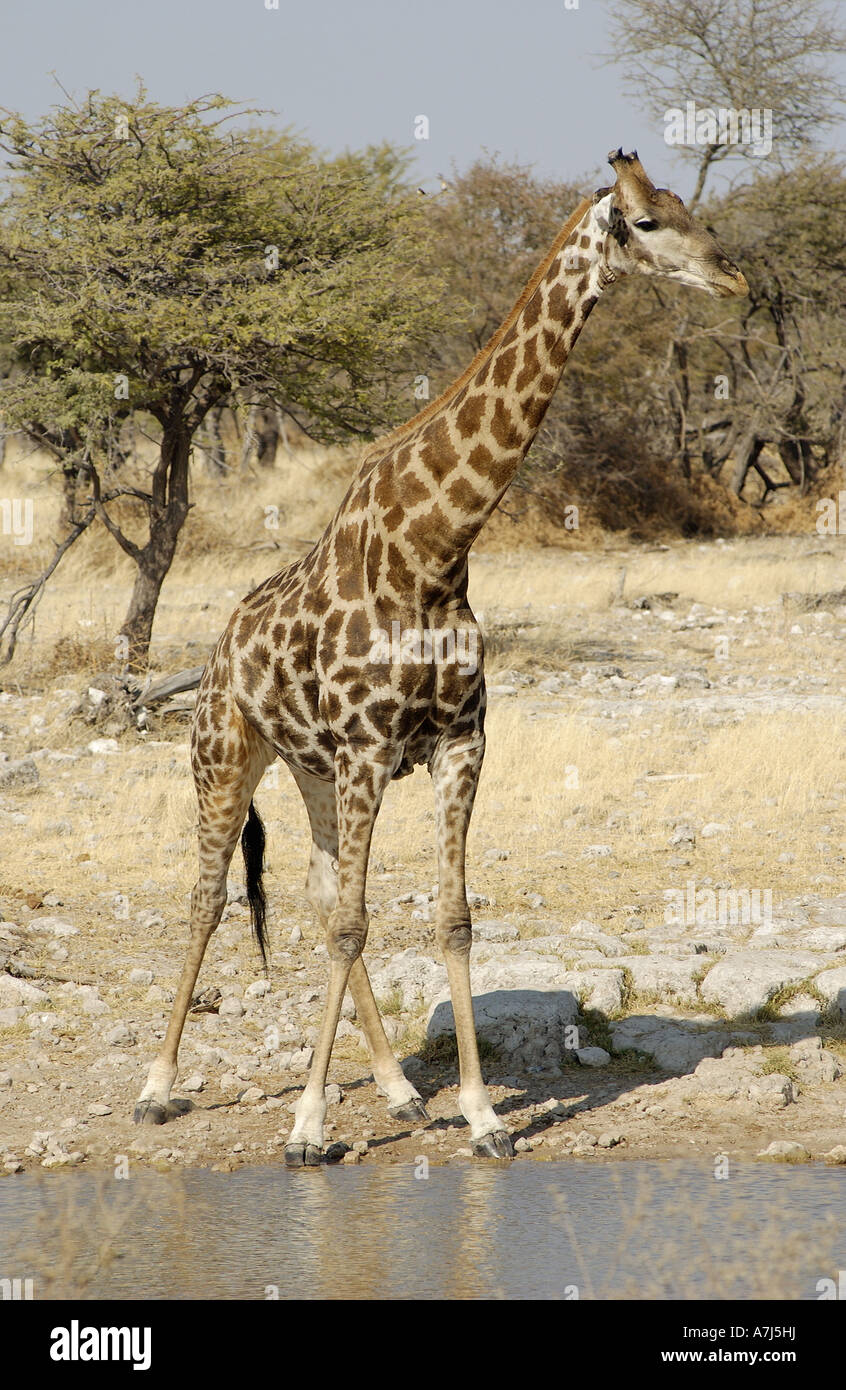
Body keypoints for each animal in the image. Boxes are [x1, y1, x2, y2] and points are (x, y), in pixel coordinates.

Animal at [134, 150, 748, 1162]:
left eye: (690, 208)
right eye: (647, 222)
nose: (734, 277)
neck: (436, 548)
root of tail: (217, 655)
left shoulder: (457, 741)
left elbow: (451, 919)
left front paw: (482, 1114)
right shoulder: (372, 748)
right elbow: (354, 924)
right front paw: (307, 1128)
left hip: (311, 770)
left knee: (316, 891)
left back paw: (394, 1091)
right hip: (224, 755)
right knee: (209, 895)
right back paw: (157, 1087)